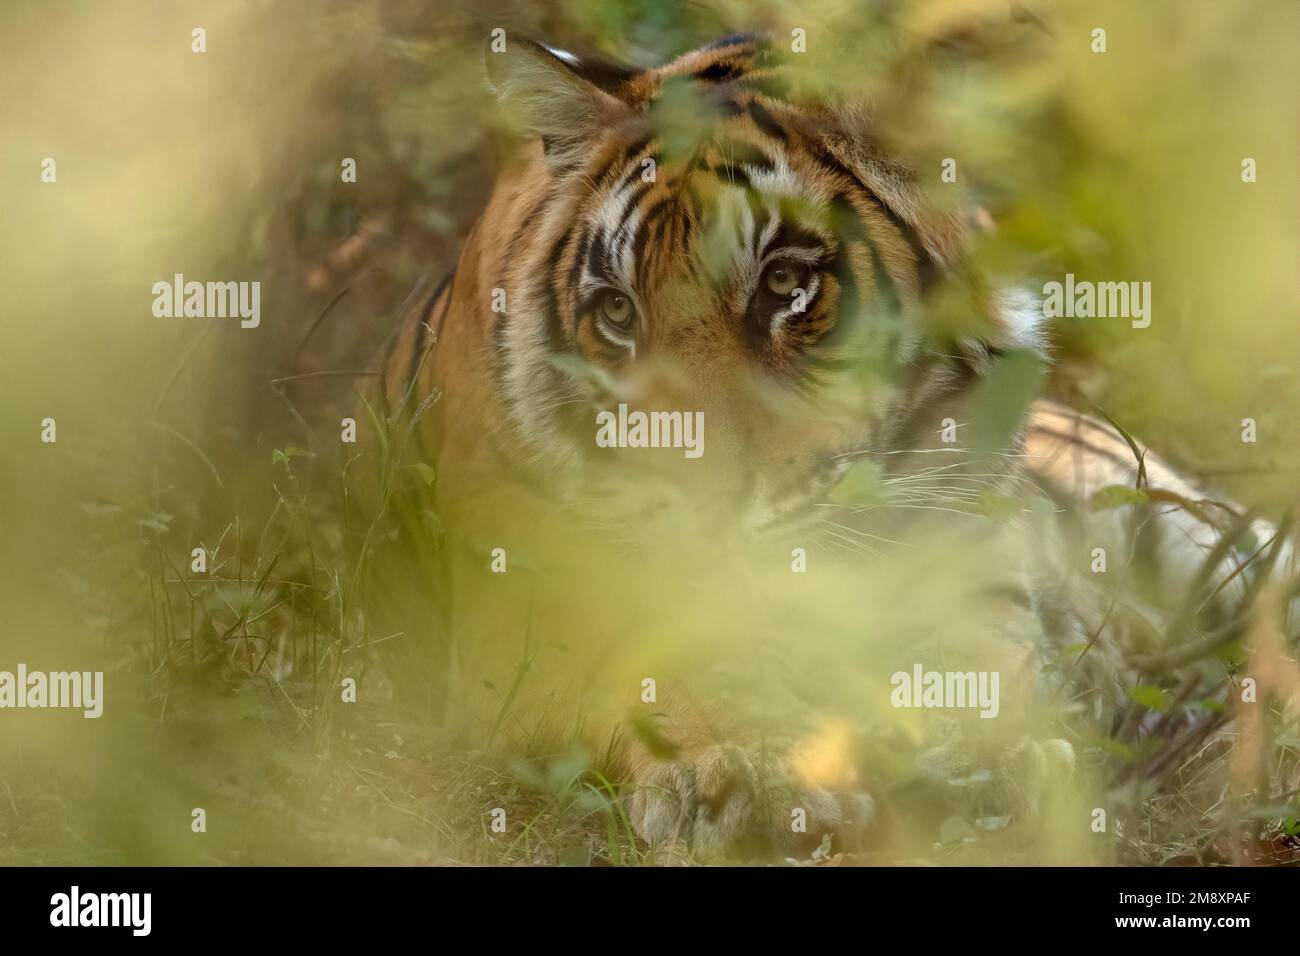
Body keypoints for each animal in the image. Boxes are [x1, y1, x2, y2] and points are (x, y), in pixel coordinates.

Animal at [368, 33, 1296, 862]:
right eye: (617, 312)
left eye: (786, 284)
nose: (692, 509)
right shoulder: (527, 604)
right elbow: (656, 663)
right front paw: (743, 773)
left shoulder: (976, 562)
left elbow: (981, 664)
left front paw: (988, 765)